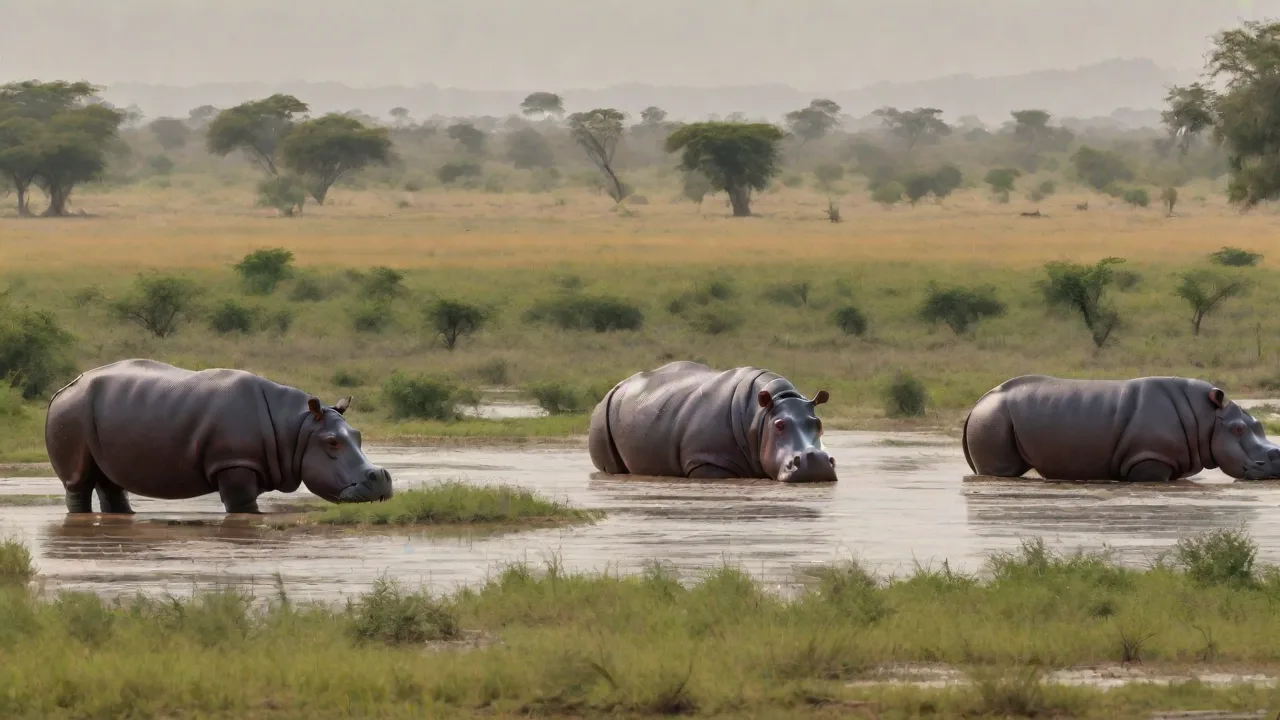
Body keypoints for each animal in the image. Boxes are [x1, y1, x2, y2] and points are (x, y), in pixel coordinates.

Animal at [44, 359, 393, 514]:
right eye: (332, 443)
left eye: (359, 436)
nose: (380, 477)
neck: (298, 428)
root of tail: (62, 389)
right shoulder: (235, 463)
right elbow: (243, 506)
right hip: (71, 413)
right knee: (78, 481)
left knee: (110, 480)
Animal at [588, 361, 837, 482]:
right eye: (779, 425)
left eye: (818, 424)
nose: (815, 460)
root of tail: (618, 386)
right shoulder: (706, 461)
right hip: (600, 419)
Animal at [962, 374, 1280, 482]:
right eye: (1238, 430)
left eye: (1258, 425)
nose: (1275, 466)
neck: (1207, 418)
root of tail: (976, 404)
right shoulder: (1149, 459)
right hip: (993, 418)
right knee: (1002, 471)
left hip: (993, 416)